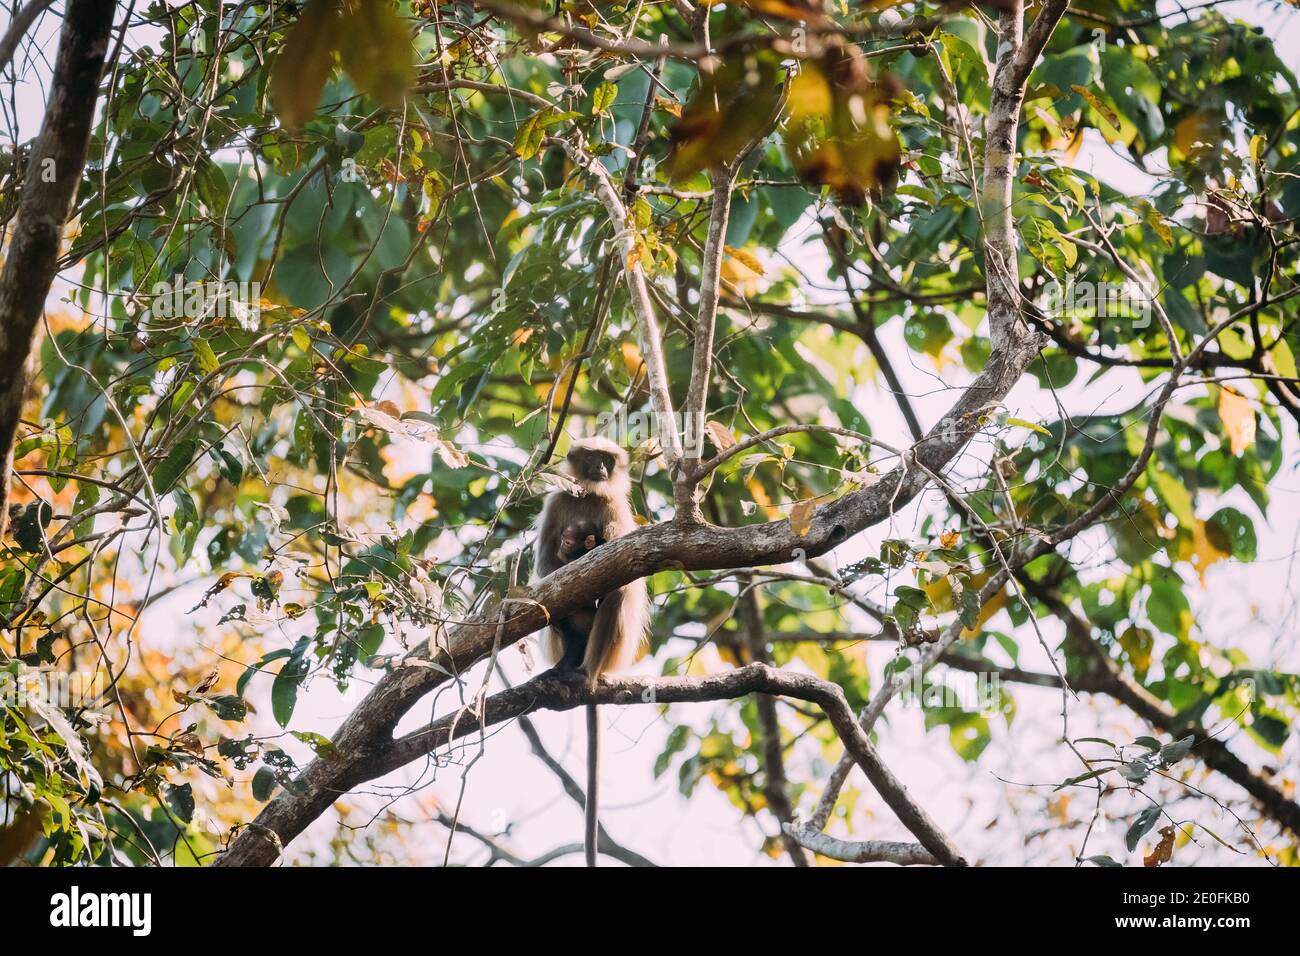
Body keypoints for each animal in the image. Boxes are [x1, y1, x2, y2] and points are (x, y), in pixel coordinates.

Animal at [533, 436, 648, 866]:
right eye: (593, 459)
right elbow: (545, 567)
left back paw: (583, 672)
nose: (600, 469)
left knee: (618, 591)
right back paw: (566, 662)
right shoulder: (555, 502)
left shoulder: (614, 509)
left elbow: (622, 561)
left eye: (607, 461)